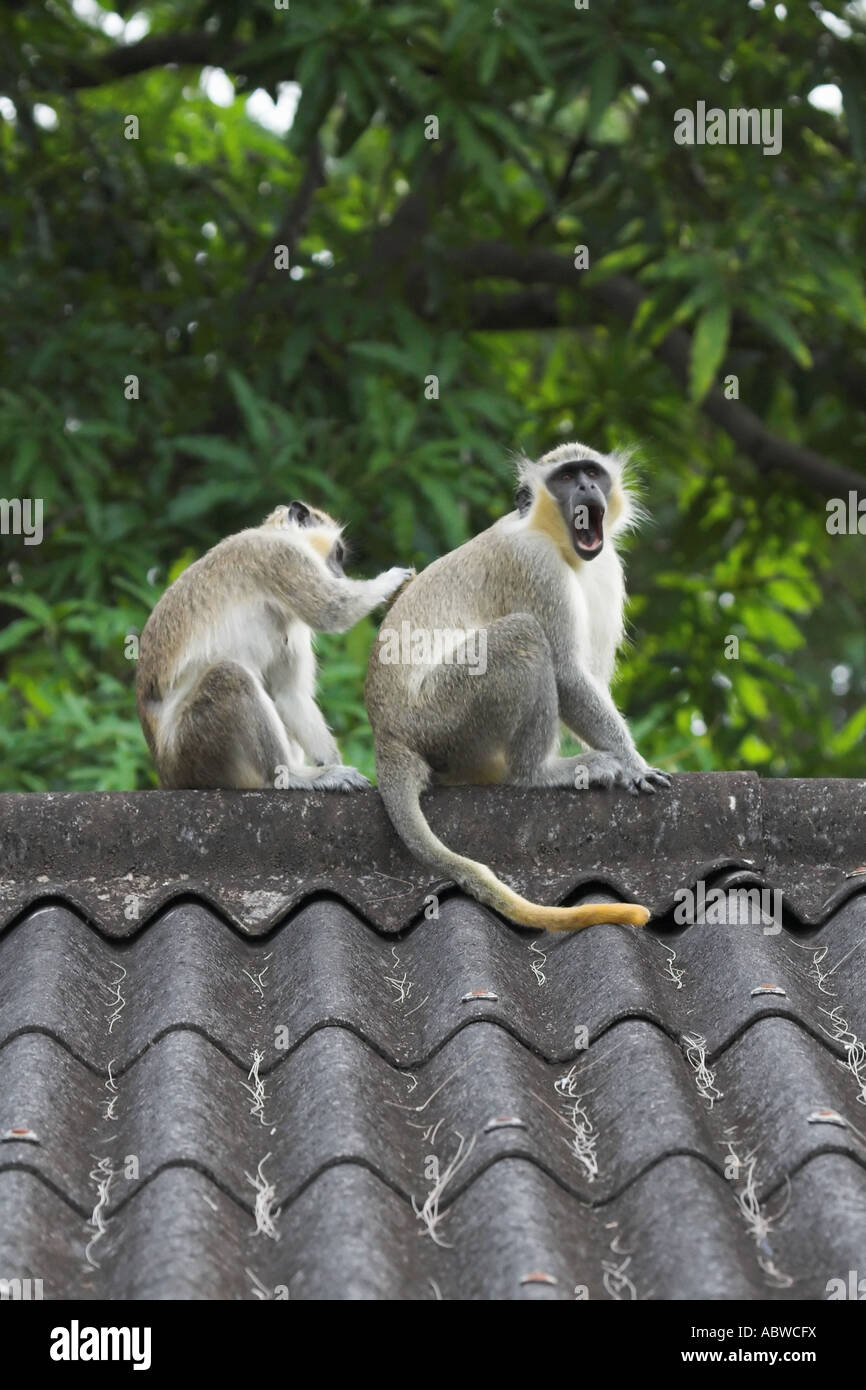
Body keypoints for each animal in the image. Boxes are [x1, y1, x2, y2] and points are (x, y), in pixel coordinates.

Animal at [137, 501, 413, 791]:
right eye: (337, 554)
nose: (339, 574)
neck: (274, 533)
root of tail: (167, 775)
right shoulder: (279, 556)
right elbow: (332, 611)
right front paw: (391, 579)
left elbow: (290, 694)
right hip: (192, 751)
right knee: (230, 676)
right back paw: (287, 775)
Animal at [365, 442, 671, 933]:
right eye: (565, 478)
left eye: (591, 473)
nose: (586, 489)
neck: (559, 544)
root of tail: (387, 734)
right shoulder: (535, 564)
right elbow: (566, 673)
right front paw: (632, 762)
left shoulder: (607, 567)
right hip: (441, 714)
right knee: (526, 635)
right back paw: (540, 773)